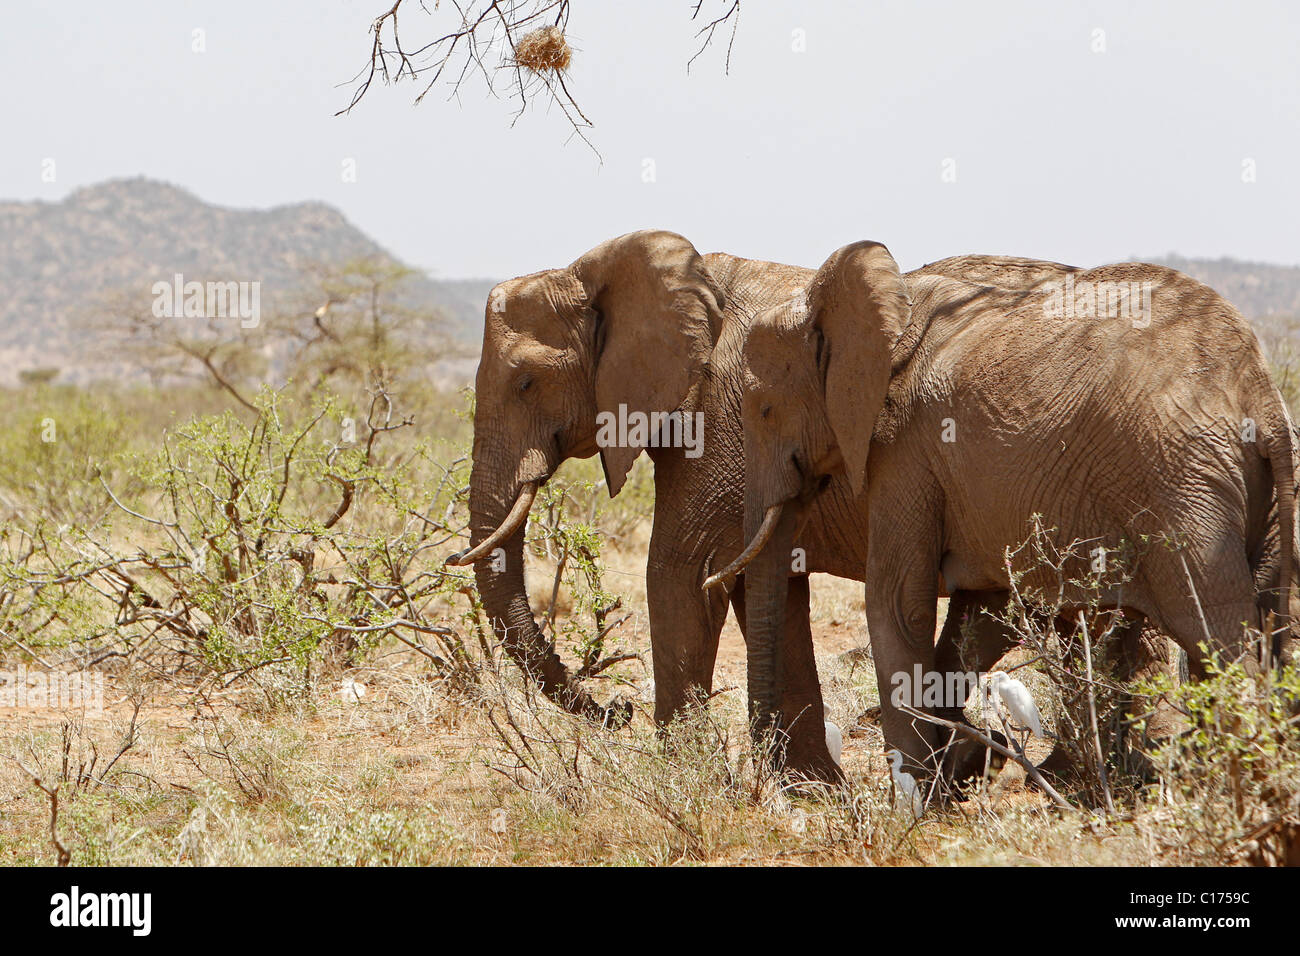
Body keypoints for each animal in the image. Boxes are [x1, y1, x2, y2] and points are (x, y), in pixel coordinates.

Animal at [721, 239, 1297, 780]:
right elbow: (979, 613)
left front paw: (915, 799)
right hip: (1253, 495)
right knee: (1260, 625)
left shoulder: (904, 451)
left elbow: (897, 605)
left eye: (765, 410)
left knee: (1219, 636)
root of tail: (1262, 396)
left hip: (1183, 488)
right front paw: (958, 770)